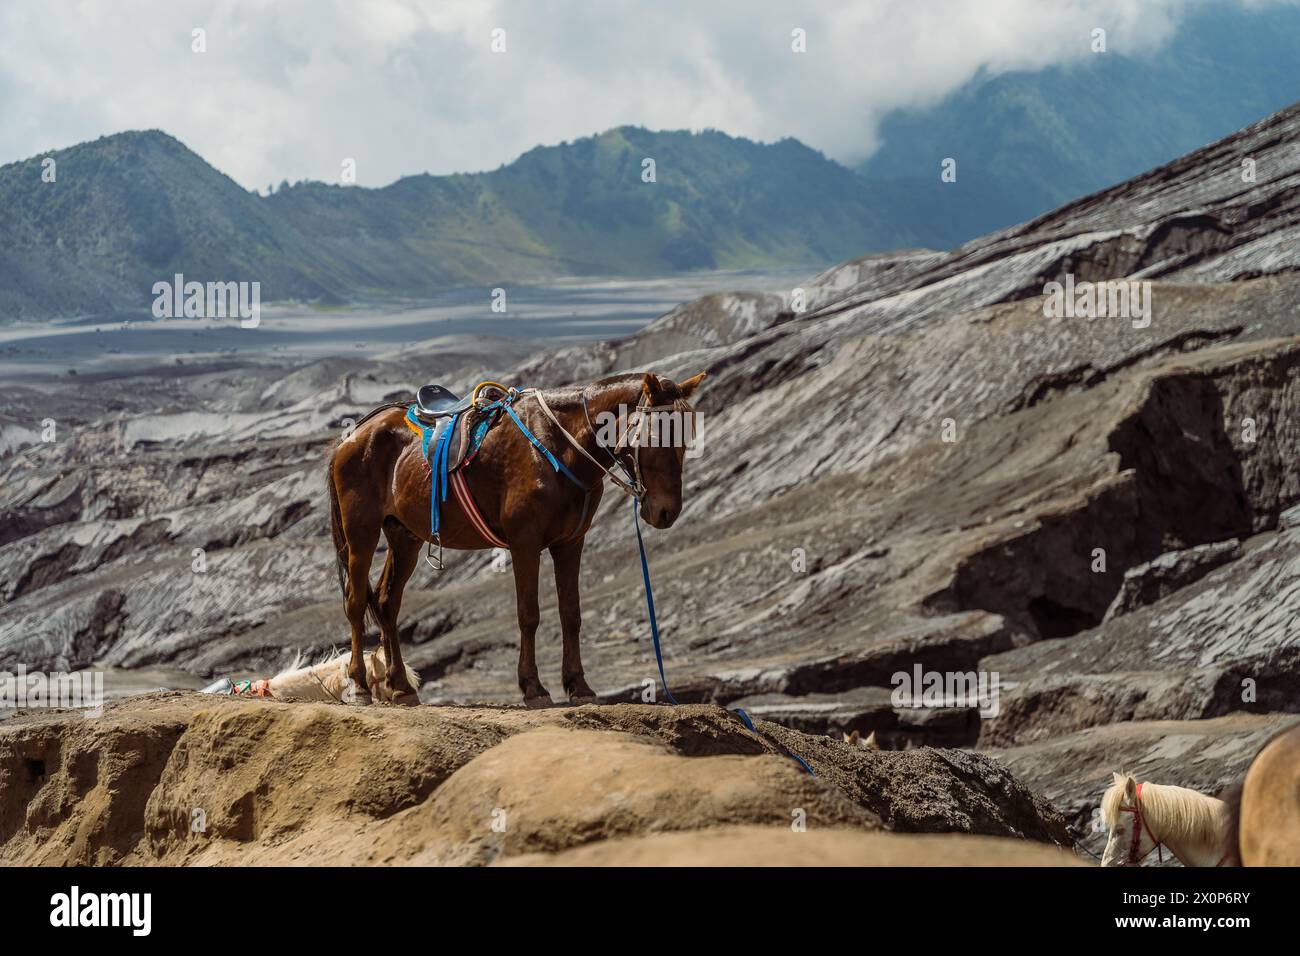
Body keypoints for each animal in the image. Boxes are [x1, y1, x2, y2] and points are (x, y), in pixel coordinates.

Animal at [326, 371, 706, 708]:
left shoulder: (570, 544)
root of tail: (355, 434)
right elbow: (529, 614)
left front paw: (579, 685)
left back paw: (401, 687)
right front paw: (533, 688)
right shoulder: (525, 543)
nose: (666, 512)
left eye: (686, 436)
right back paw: (359, 685)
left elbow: (571, 614)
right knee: (356, 603)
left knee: (387, 603)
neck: (558, 446)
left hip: (405, 537)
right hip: (361, 534)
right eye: (654, 434)